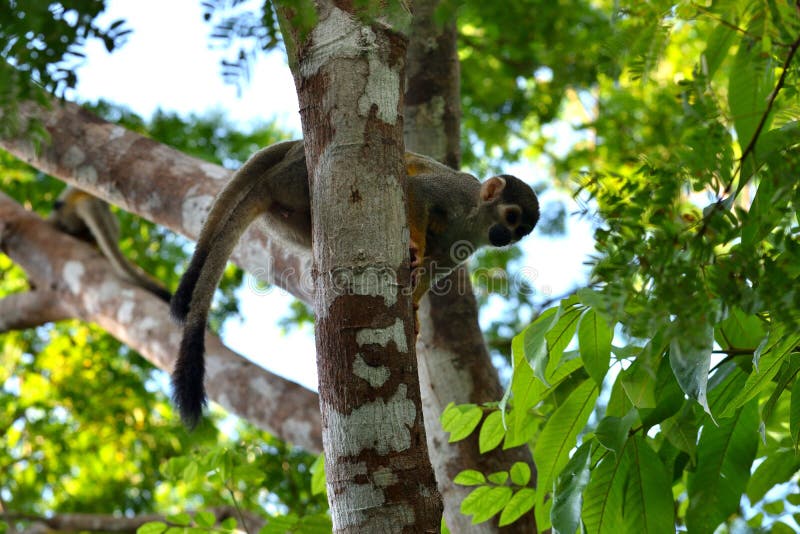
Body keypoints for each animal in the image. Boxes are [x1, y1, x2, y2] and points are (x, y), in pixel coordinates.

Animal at [170, 139, 539, 428]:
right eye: (510, 217)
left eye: (520, 231)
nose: (505, 238)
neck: (474, 216)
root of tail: (274, 177)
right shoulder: (457, 192)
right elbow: (418, 191)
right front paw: (416, 245)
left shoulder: (471, 241)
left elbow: (436, 269)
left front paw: (414, 305)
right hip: (300, 174)